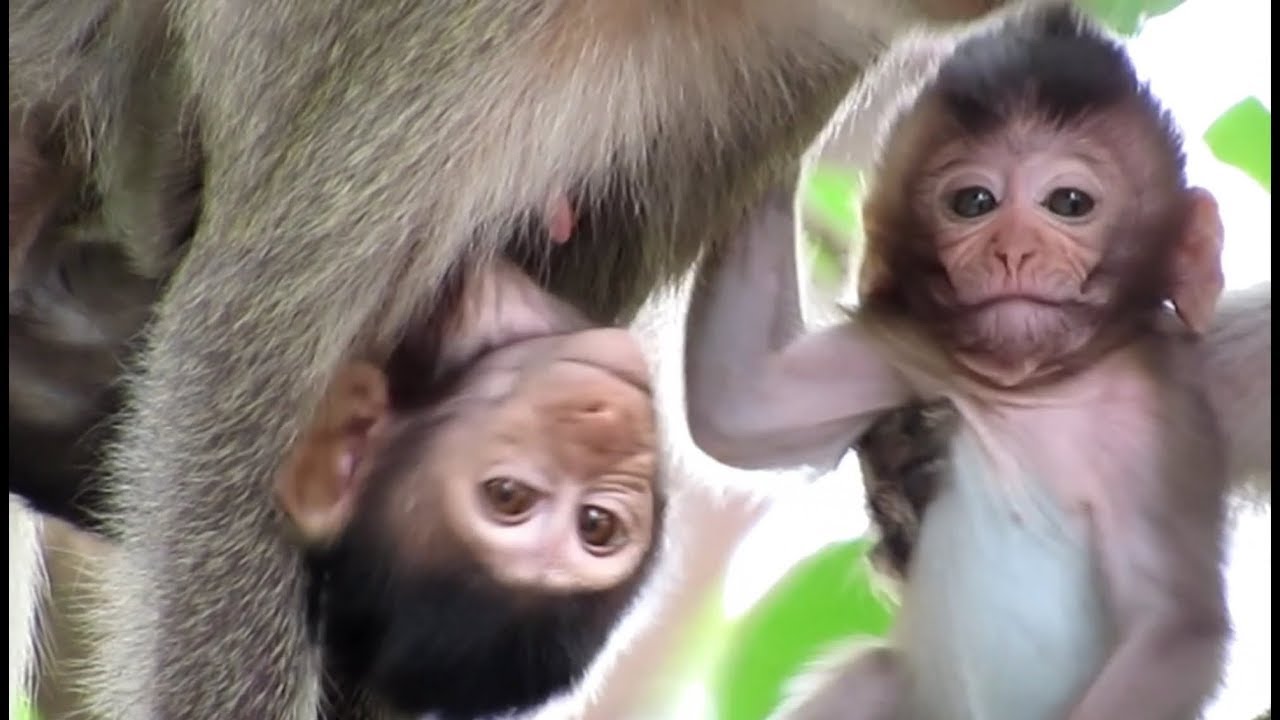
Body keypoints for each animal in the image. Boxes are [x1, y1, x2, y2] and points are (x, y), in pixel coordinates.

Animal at [683, 6, 1253, 718]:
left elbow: (1177, 626)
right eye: (973, 202)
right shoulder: (910, 346)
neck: (1036, 392)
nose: (1012, 250)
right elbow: (740, 407)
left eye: (1069, 203)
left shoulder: (1162, 416)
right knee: (877, 673)